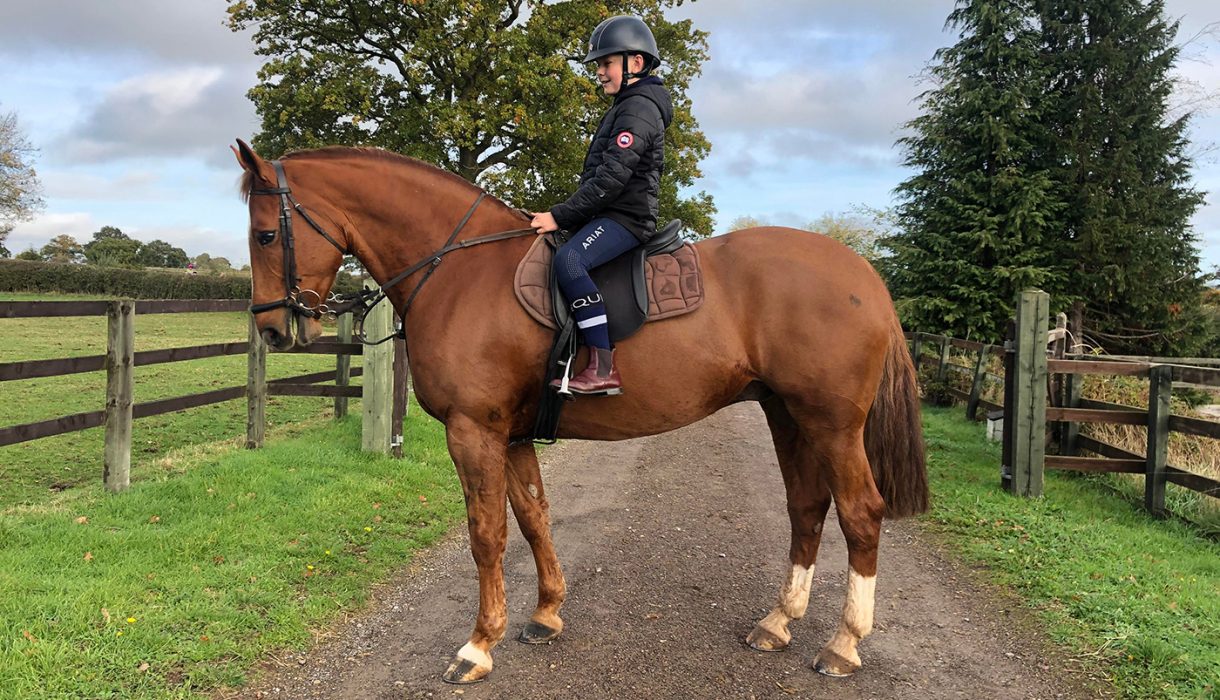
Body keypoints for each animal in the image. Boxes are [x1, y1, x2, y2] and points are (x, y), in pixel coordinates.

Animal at [233, 139, 928, 685]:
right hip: (788, 417)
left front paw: (477, 646)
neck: (461, 269)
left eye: (265, 234)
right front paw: (545, 614)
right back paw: (779, 622)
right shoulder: (511, 437)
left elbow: (487, 535)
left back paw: (843, 644)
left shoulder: (473, 433)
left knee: (861, 515)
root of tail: (862, 273)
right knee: (806, 508)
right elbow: (534, 518)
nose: (270, 328)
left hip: (832, 425)